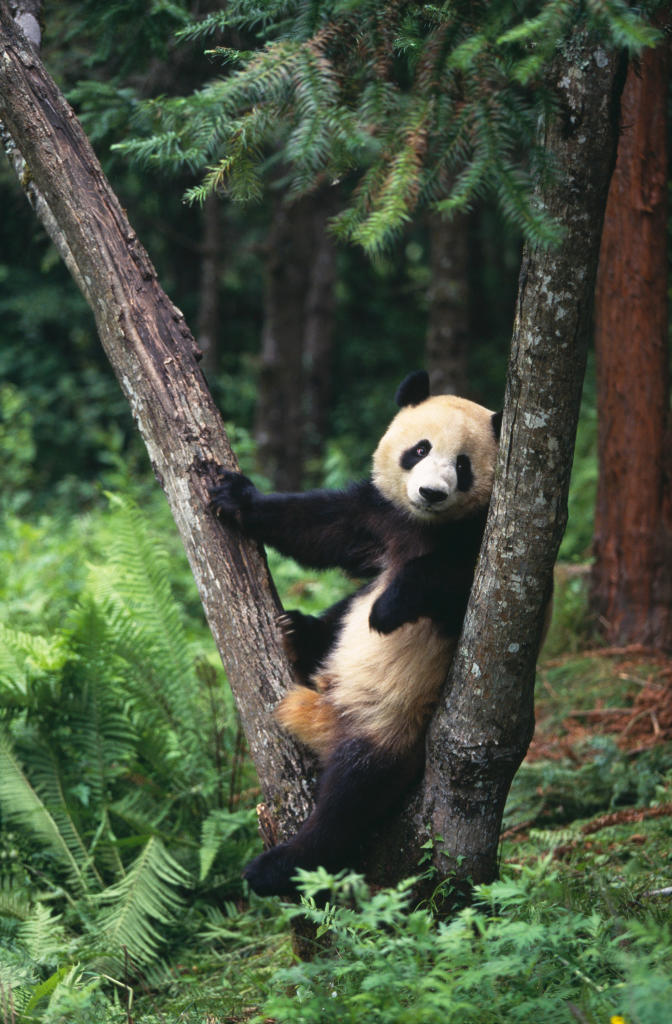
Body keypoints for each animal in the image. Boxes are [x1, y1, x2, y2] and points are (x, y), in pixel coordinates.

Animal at [209, 370, 501, 896]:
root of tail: (327, 710)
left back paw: (279, 866)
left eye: (463, 465)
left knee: (352, 796)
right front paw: (234, 499)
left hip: (392, 725)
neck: (425, 525)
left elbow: (455, 580)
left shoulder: (484, 545)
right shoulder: (380, 516)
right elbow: (321, 526)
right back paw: (299, 634)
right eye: (420, 449)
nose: (431, 493)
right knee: (341, 614)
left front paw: (388, 609)